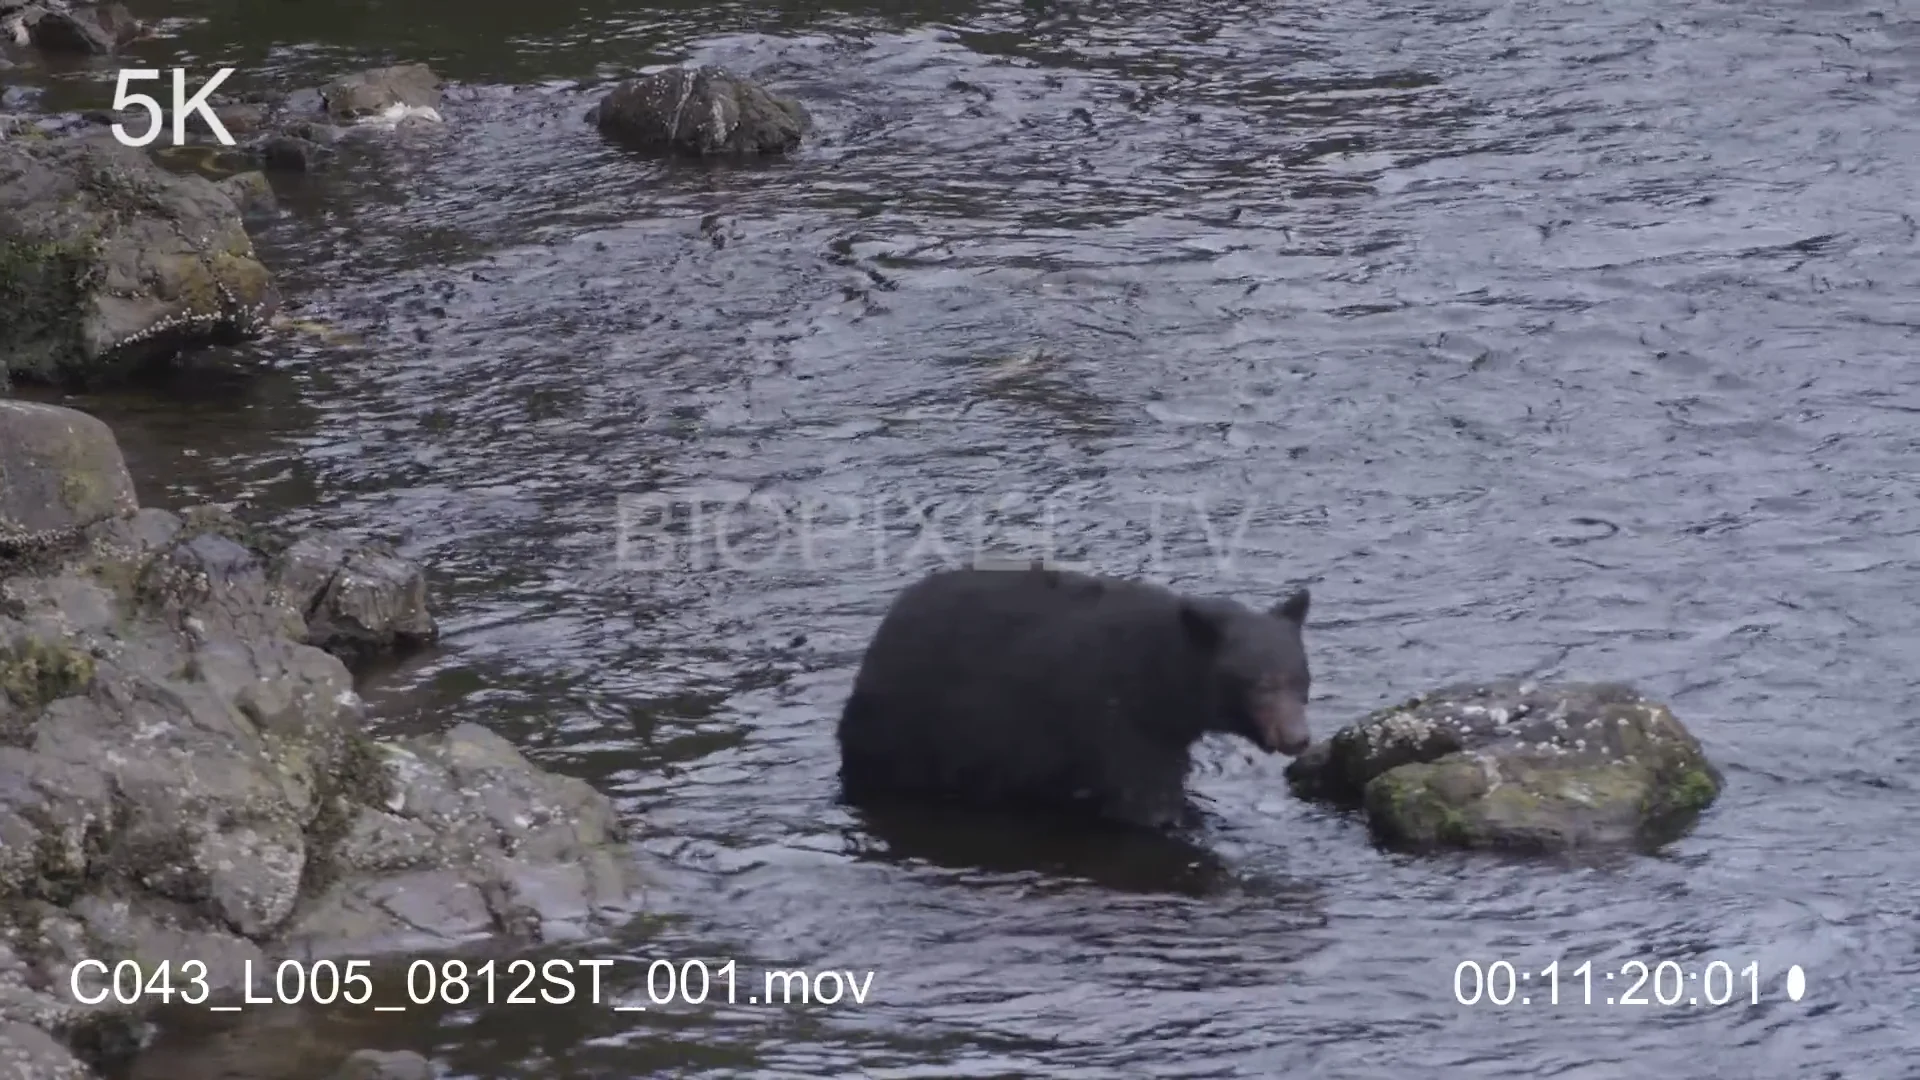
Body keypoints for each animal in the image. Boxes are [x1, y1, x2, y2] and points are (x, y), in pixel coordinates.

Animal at [834, 563, 1314, 830]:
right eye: (1260, 683)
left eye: (1300, 680)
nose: (1298, 738)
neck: (1161, 681)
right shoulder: (1117, 719)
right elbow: (1143, 798)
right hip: (908, 727)